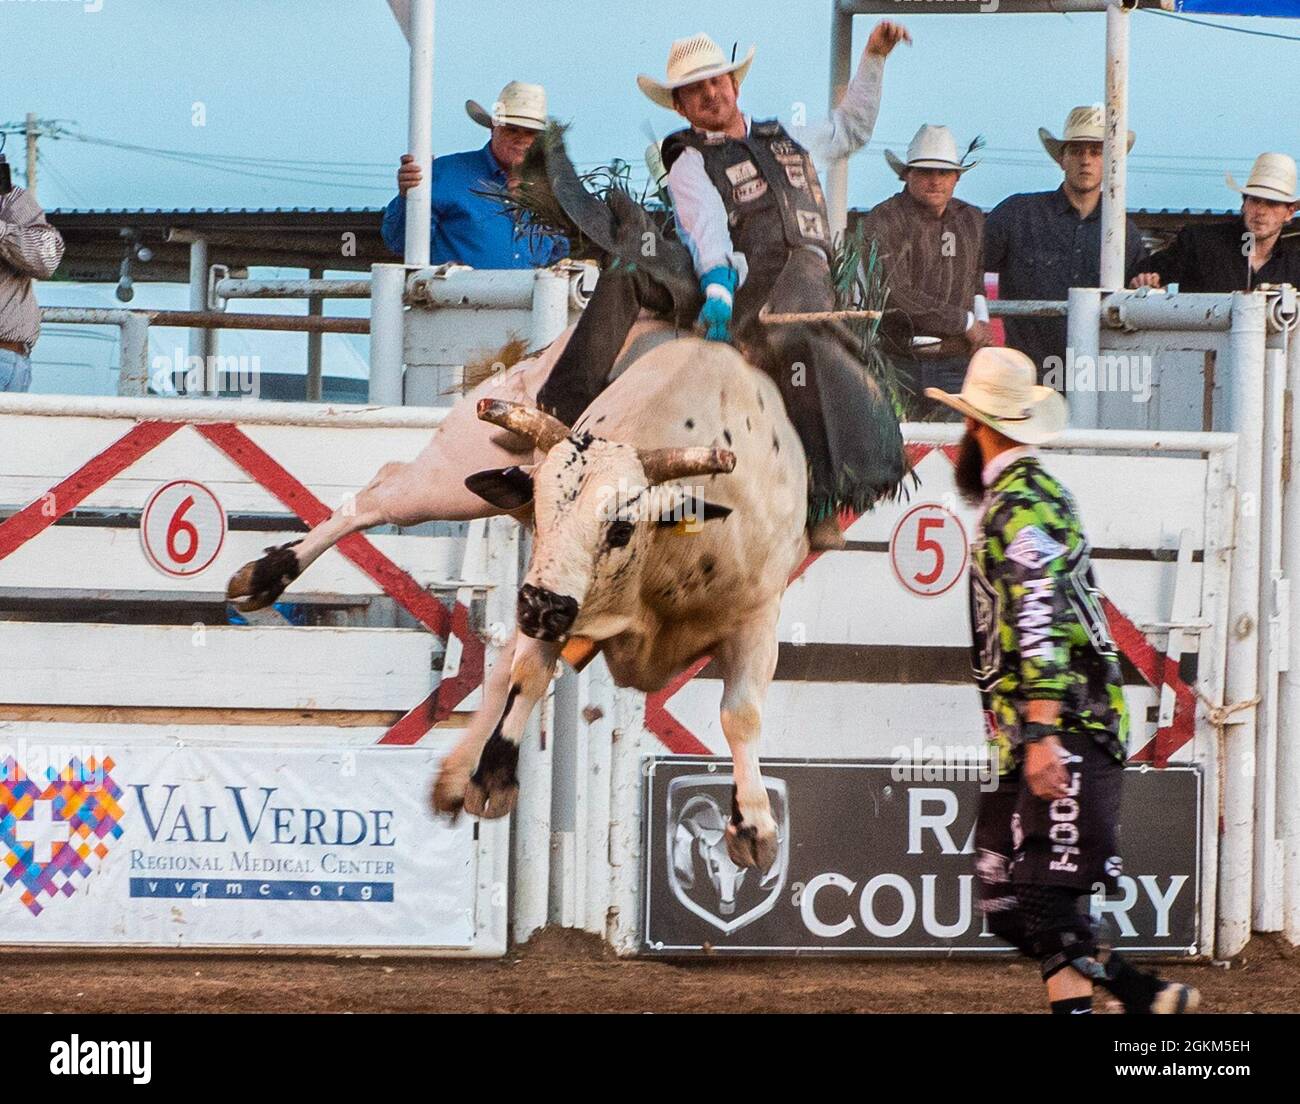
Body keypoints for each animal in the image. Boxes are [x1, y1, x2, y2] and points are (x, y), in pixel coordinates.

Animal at [431, 335, 808, 871]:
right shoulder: (560, 603)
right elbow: (526, 675)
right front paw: (492, 777)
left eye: (621, 527)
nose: (540, 606)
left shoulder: (757, 617)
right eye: (538, 512)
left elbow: (741, 715)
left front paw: (754, 825)